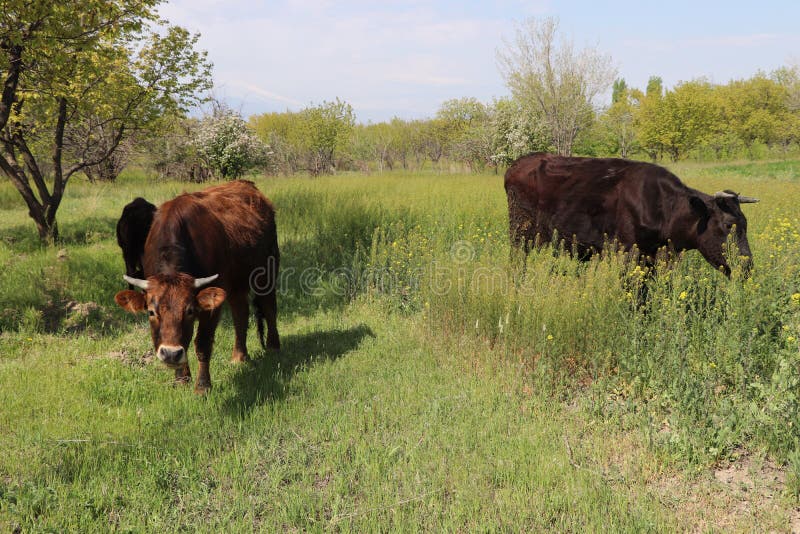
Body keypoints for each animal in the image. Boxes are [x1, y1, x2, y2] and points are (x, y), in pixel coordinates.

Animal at [114, 180, 280, 394]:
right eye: (151, 312)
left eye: (190, 311)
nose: (170, 354)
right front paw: (181, 379)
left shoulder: (211, 306)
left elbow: (202, 343)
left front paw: (202, 386)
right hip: (235, 286)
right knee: (240, 314)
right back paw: (239, 356)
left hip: (266, 273)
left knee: (269, 307)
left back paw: (273, 347)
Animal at [504, 153, 759, 276]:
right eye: (728, 225)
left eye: (746, 224)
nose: (748, 266)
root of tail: (519, 162)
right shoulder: (628, 252)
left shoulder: (658, 256)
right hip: (520, 233)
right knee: (517, 260)